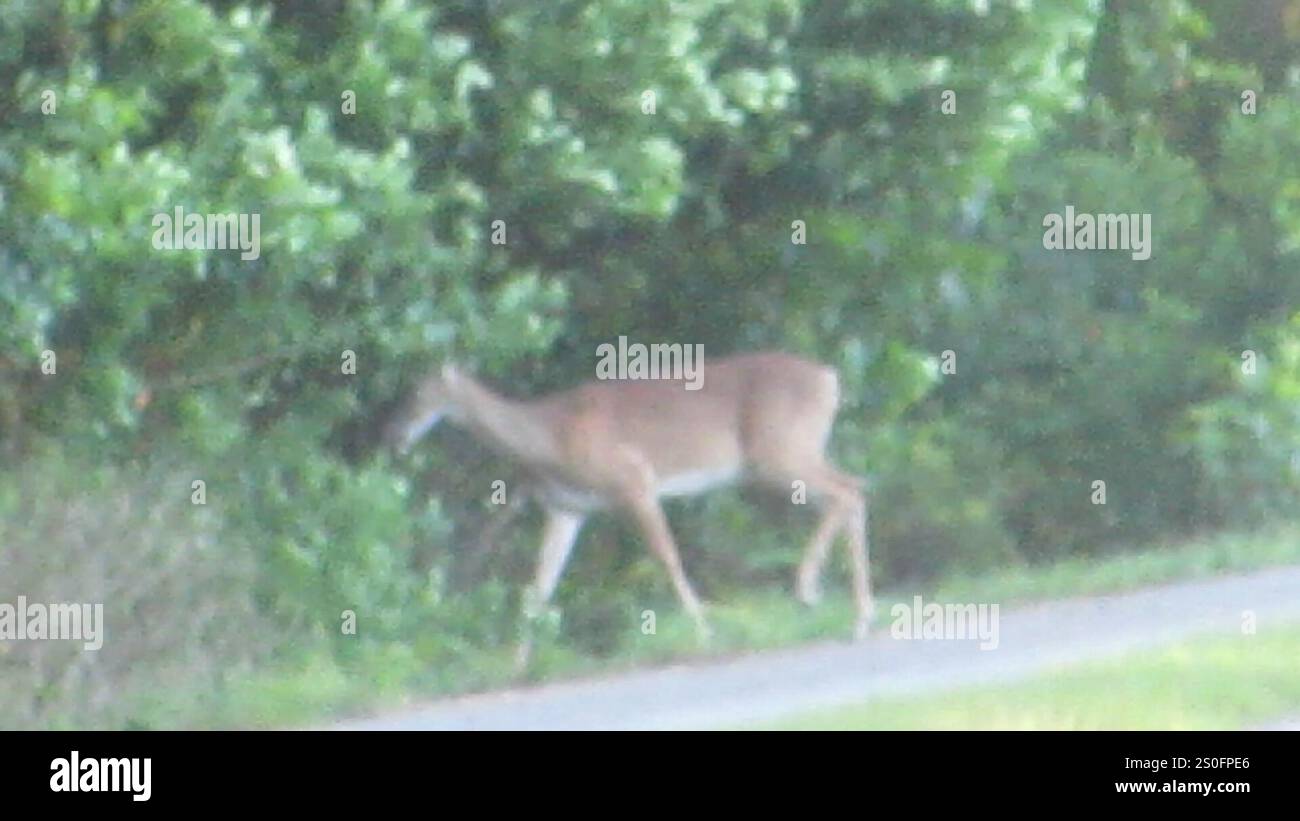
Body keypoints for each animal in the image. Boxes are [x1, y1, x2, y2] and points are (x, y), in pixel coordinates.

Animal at [382, 351, 873, 665]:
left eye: (420, 393)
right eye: (408, 391)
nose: (394, 433)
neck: (551, 435)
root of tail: (829, 378)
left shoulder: (635, 481)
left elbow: (668, 558)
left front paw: (704, 632)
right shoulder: (567, 509)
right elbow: (539, 587)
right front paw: (515, 664)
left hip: (778, 454)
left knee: (848, 490)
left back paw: (814, 592)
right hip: (785, 456)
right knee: (852, 490)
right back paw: (856, 616)